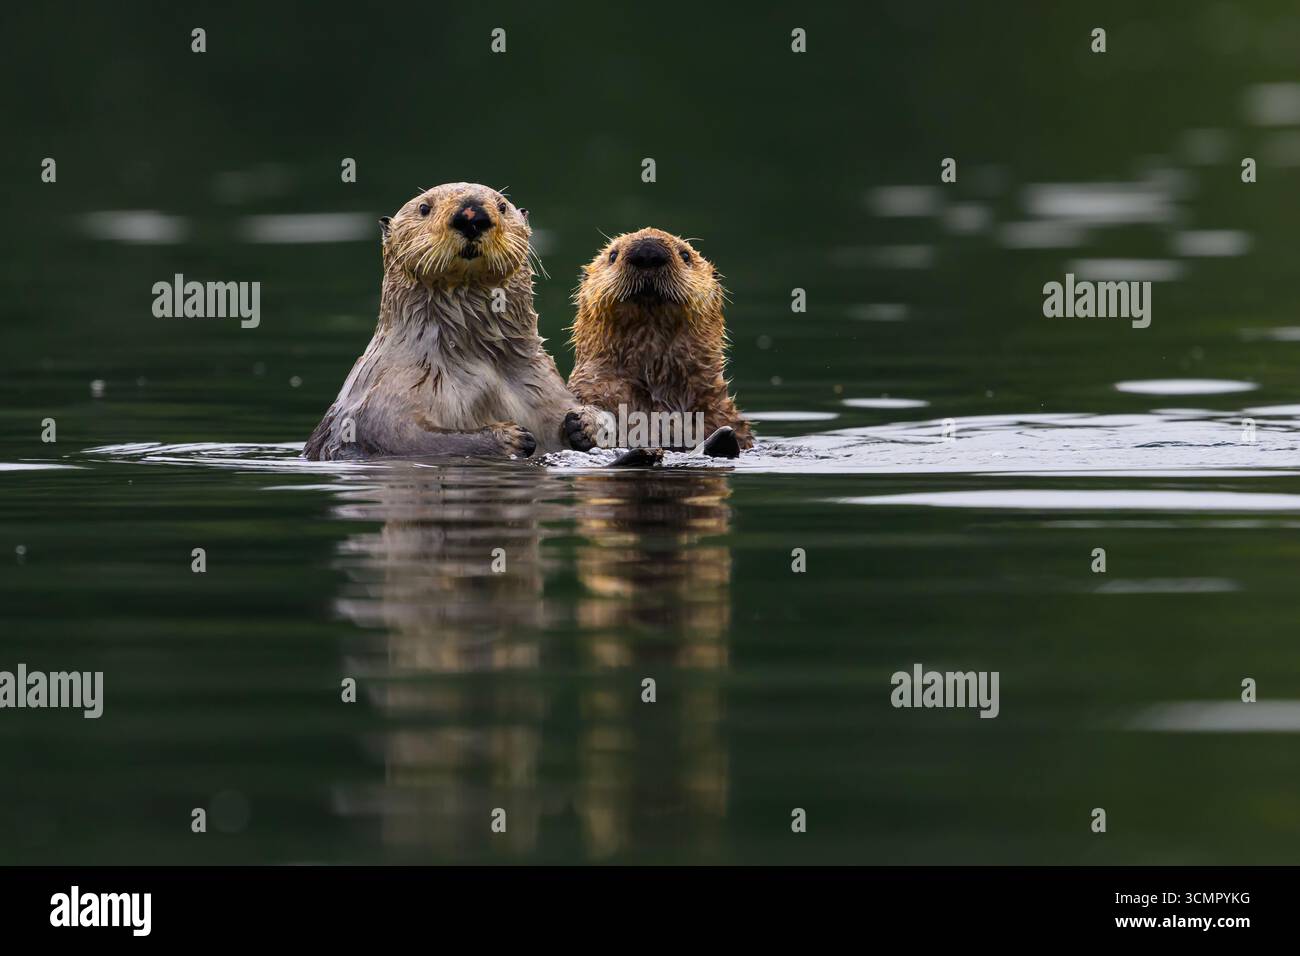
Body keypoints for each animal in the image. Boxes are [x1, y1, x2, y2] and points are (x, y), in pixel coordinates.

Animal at [304, 183, 589, 461]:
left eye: (502, 206)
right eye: (424, 207)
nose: (471, 215)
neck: (475, 361)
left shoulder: (544, 386)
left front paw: (584, 423)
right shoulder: (385, 398)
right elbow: (407, 437)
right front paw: (511, 437)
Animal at [563, 227, 753, 458]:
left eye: (685, 255)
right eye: (613, 255)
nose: (647, 252)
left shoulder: (717, 409)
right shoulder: (593, 386)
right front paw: (584, 422)